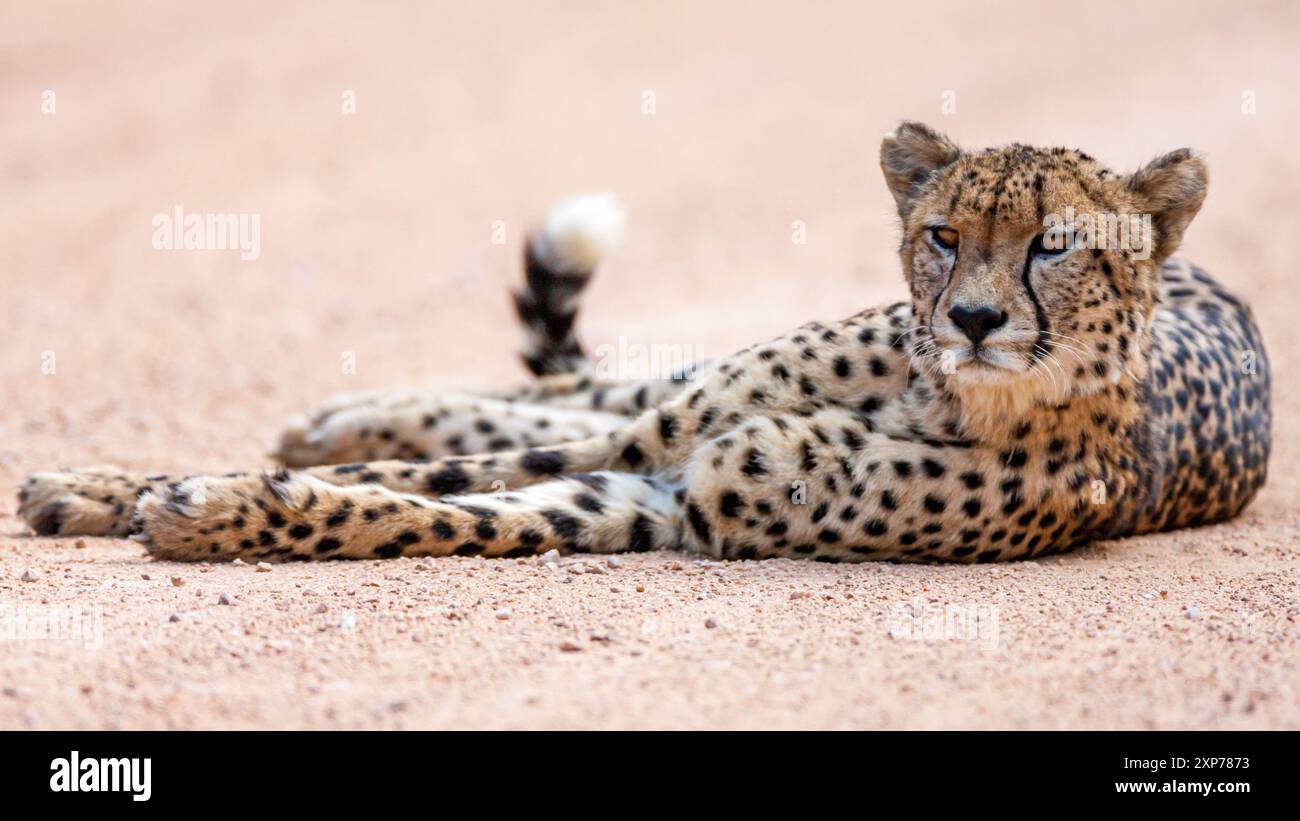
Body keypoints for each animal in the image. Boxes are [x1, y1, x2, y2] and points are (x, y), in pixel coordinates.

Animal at [17, 122, 1271, 563]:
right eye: (944, 235)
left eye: (1054, 244)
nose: (969, 319)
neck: (938, 400)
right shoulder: (675, 444)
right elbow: (437, 474)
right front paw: (136, 488)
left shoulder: (675, 499)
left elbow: (443, 511)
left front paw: (214, 509)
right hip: (689, 393)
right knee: (561, 396)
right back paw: (329, 417)